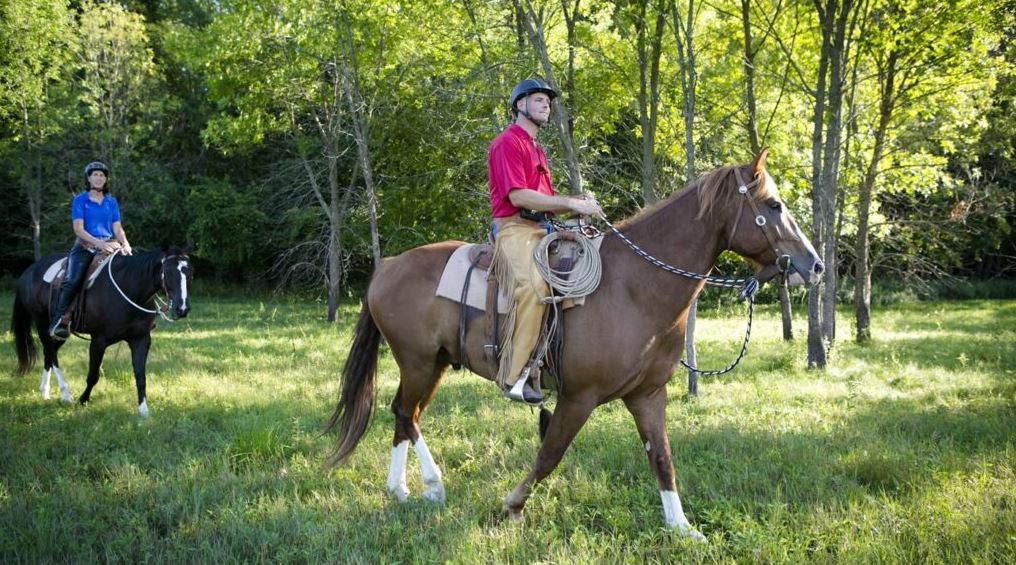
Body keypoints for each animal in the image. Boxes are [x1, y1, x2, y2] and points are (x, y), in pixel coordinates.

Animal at [10, 246, 193, 416]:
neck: (129, 289)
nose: (182, 309)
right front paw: (82, 400)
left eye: (190, 273)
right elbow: (93, 375)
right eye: (167, 272)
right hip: (42, 324)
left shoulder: (141, 339)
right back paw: (65, 394)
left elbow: (141, 376)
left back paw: (45, 392)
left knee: (49, 353)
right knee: (51, 354)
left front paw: (143, 410)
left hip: (59, 333)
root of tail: (28, 272)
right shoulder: (99, 341)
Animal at [325, 150, 823, 538]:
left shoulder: (648, 395)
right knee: (404, 412)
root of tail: (388, 266)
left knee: (405, 415)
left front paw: (682, 527)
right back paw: (430, 484)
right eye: (774, 204)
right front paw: (511, 506)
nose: (814, 265)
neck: (634, 287)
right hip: (418, 361)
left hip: (435, 363)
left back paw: (404, 489)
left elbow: (662, 457)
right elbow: (550, 454)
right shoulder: (578, 397)